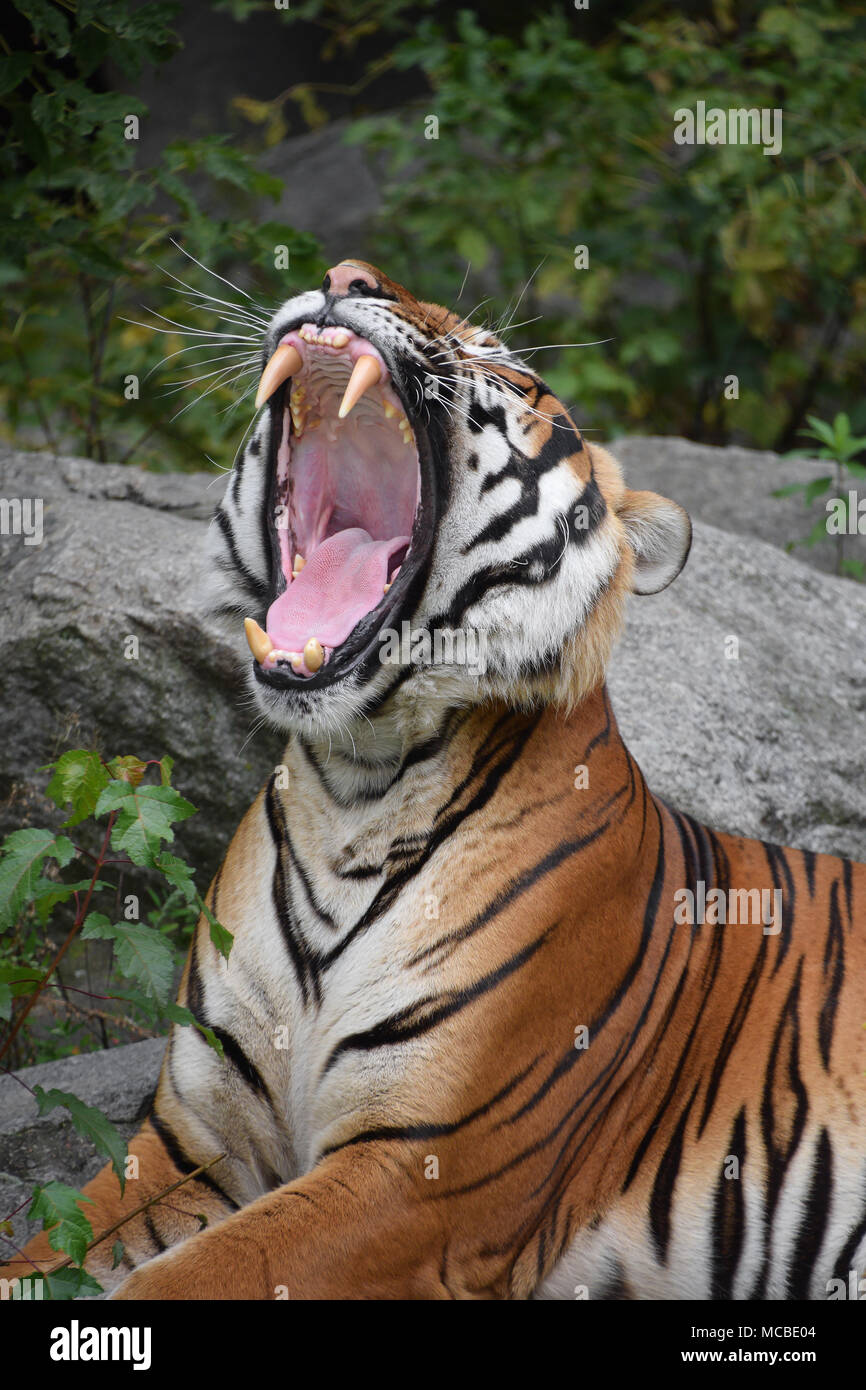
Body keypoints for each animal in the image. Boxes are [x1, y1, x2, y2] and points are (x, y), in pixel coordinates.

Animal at [4, 259, 865, 1301]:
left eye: (503, 360)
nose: (346, 275)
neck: (354, 784)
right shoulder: (193, 1140)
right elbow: (44, 1250)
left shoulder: (419, 1175)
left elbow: (195, 1276)